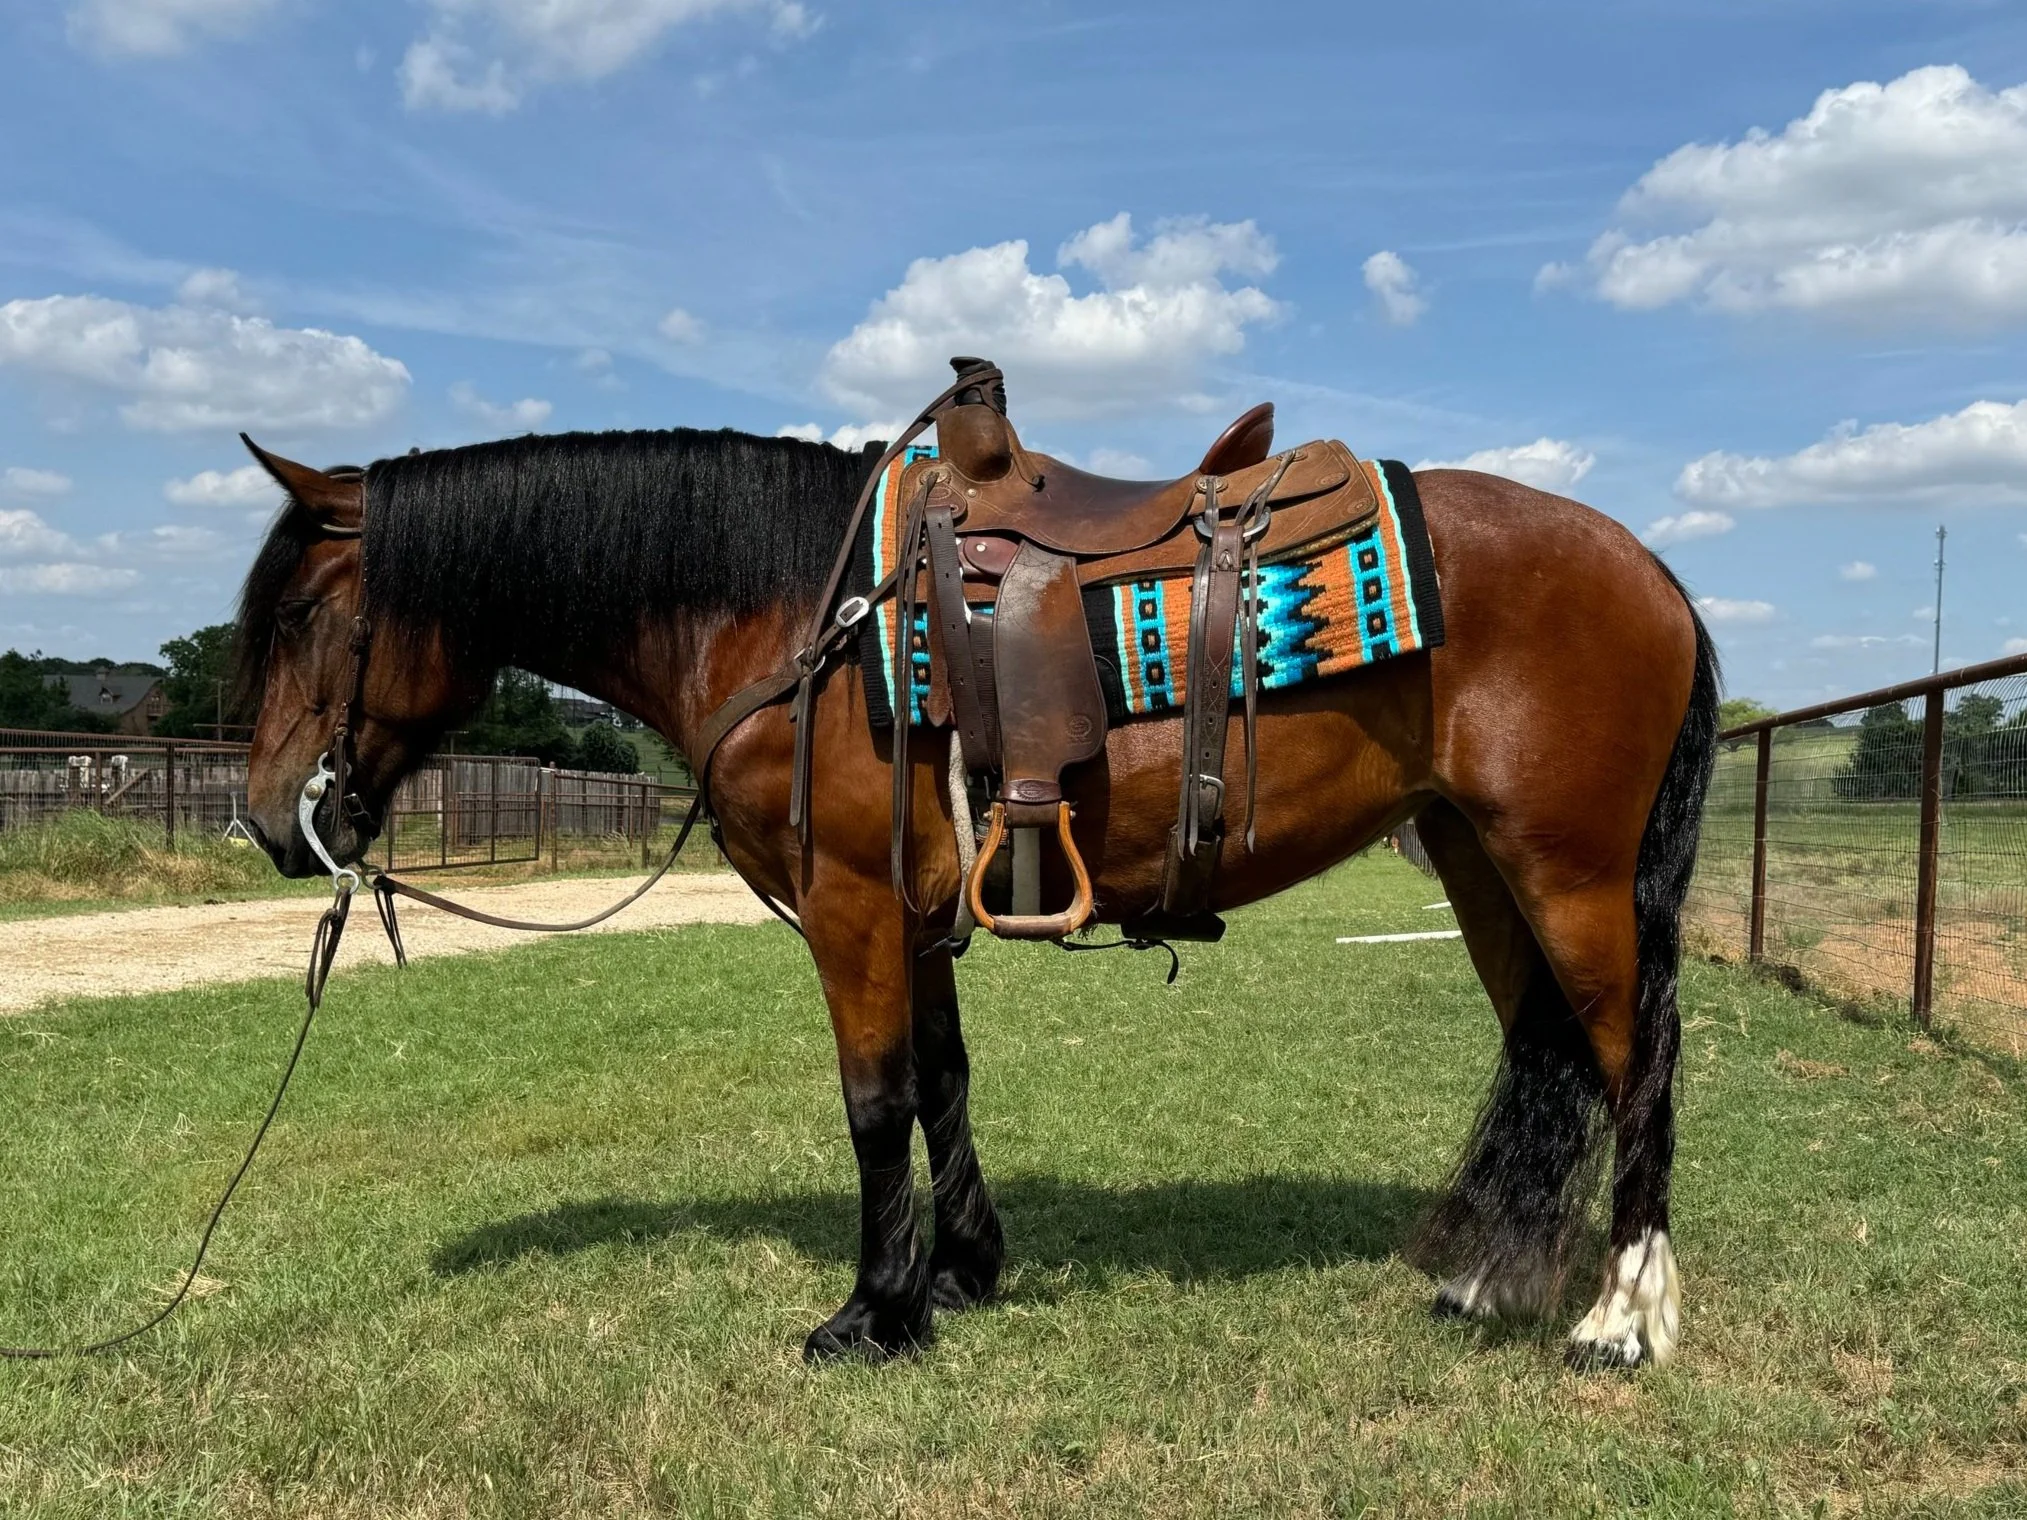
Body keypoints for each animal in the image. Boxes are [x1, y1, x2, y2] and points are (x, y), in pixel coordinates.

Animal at [230, 418, 1717, 1369]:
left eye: (300, 614)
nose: (269, 818)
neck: (793, 613)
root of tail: (1650, 567)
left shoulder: (847, 907)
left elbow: (873, 1098)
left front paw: (875, 1312)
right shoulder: (915, 914)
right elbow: (942, 1078)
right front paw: (959, 1267)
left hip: (1568, 869)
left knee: (1633, 1060)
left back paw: (1619, 1320)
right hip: (1478, 863)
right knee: (1551, 1053)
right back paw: (1488, 1281)